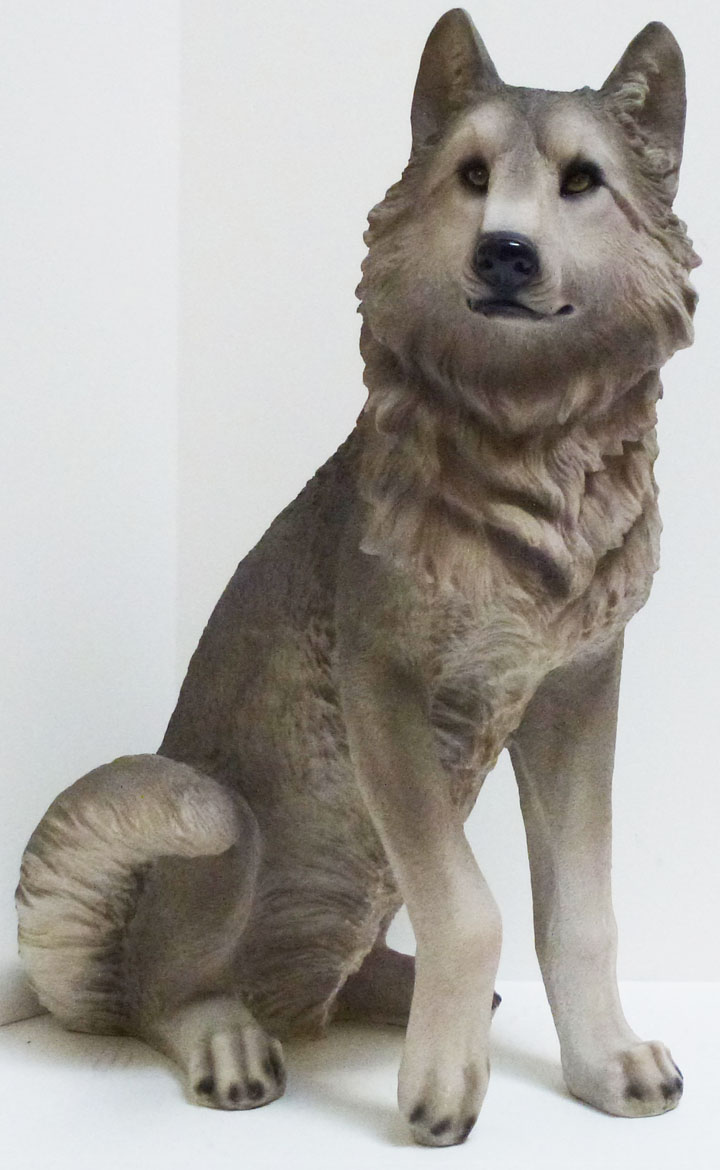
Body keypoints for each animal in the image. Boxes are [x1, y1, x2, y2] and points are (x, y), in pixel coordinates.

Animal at [16, 9, 698, 1148]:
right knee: (163, 995)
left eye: (582, 181)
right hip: (229, 840)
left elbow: (580, 910)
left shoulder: (574, 687)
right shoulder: (383, 683)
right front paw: (443, 1084)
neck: (524, 441)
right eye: (471, 176)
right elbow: (470, 906)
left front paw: (604, 1062)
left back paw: (389, 988)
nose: (504, 249)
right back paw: (230, 1038)